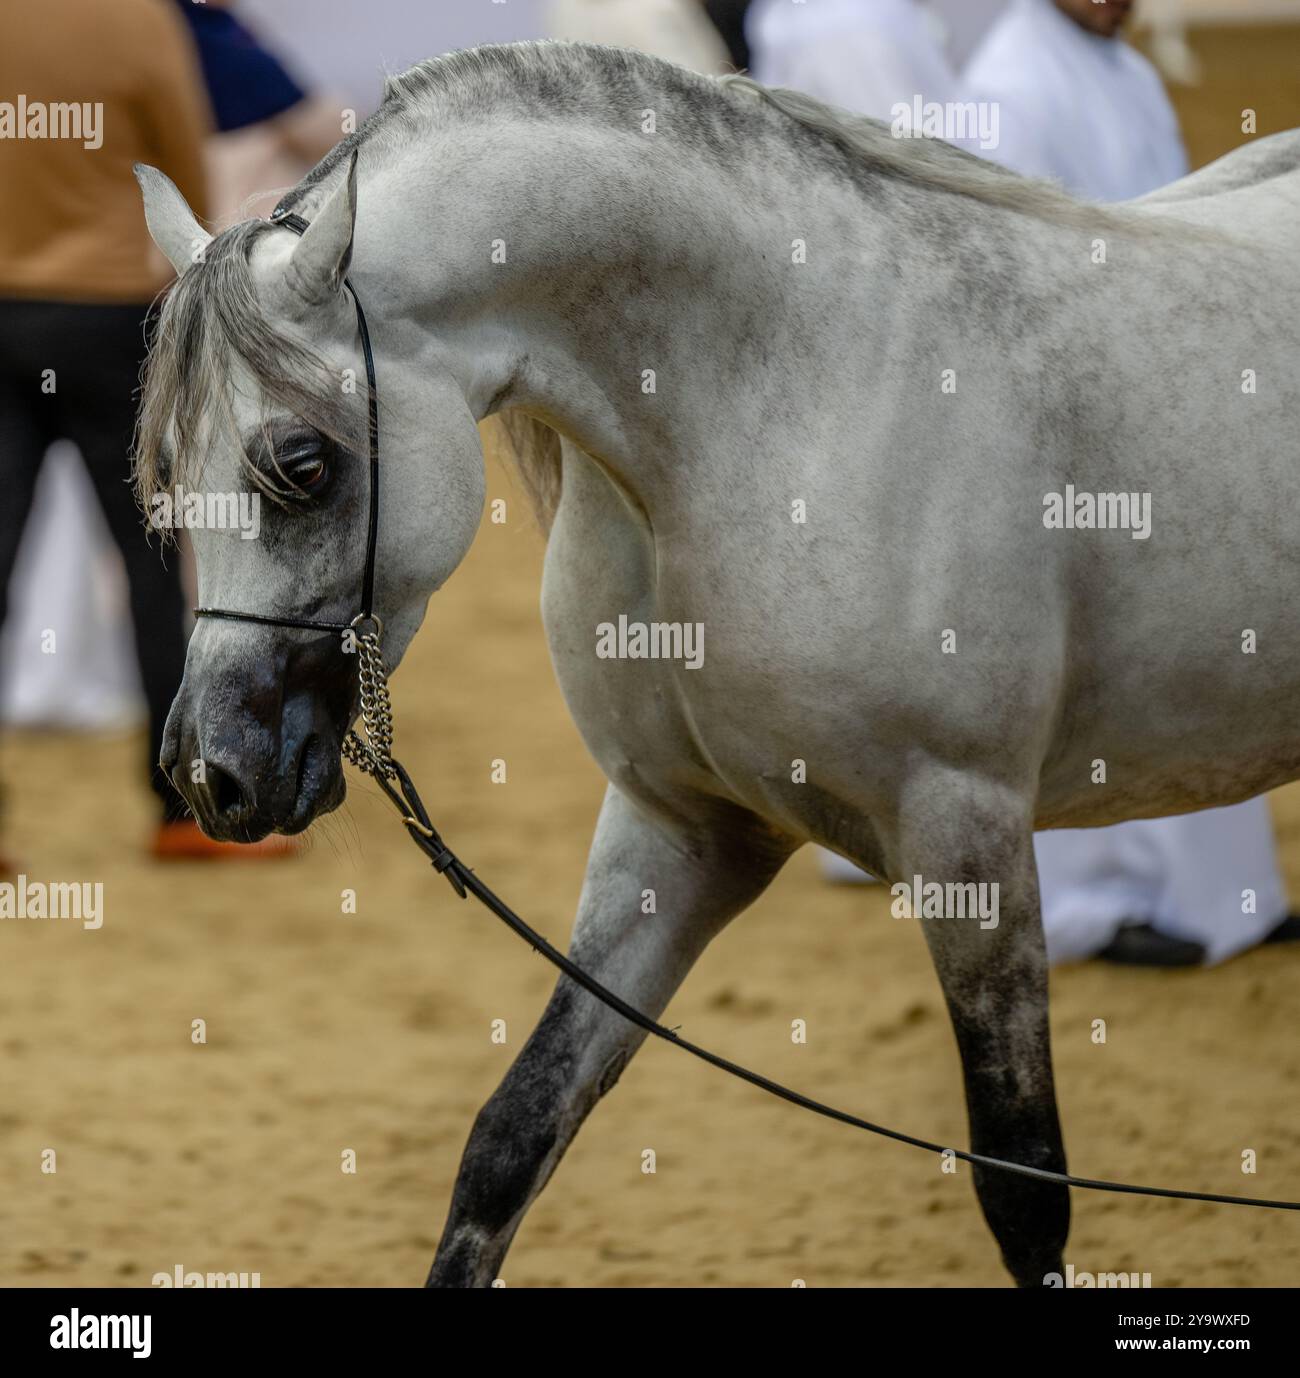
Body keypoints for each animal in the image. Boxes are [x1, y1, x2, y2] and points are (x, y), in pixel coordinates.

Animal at [132, 41, 1300, 1287]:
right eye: (167, 474)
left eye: (303, 463)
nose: (208, 772)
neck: (790, 397)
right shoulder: (680, 831)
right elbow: (511, 1135)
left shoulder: (966, 831)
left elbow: (1023, 1184)